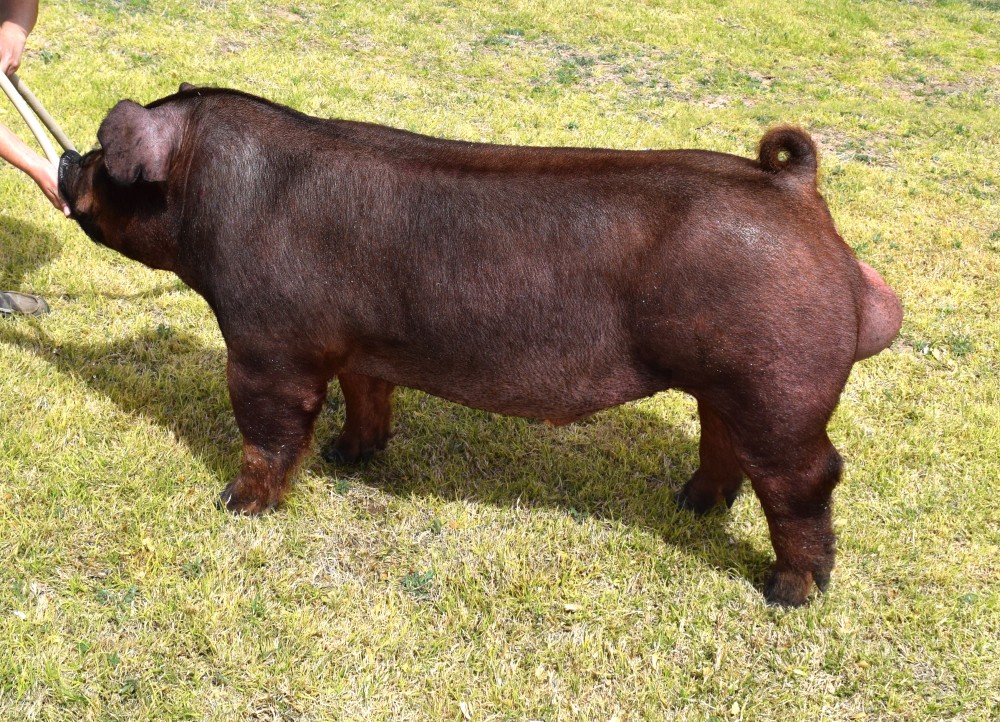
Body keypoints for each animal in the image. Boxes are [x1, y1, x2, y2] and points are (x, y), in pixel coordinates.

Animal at [58, 85, 902, 606]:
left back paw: (788, 593)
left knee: (810, 477)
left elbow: (268, 430)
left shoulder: (267, 345)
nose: (66, 161)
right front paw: (347, 457)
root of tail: (795, 189)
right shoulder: (361, 346)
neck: (215, 193)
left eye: (102, 153)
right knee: (721, 442)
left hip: (781, 385)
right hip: (729, 380)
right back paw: (690, 504)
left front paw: (237, 506)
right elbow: (368, 396)